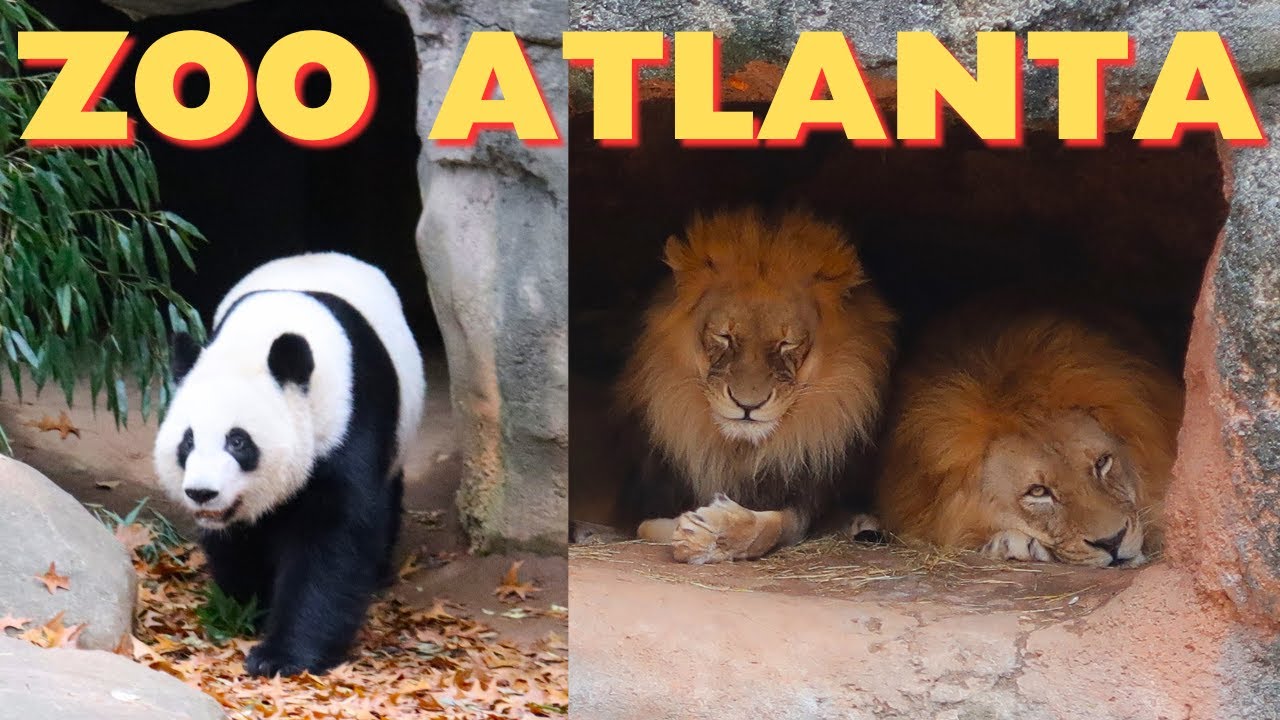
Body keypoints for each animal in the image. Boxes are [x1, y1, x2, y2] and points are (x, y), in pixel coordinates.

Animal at [153, 252, 425, 677]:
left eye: (238, 441)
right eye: (188, 441)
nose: (202, 492)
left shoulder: (348, 420)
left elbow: (333, 537)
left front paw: (281, 655)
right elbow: (237, 540)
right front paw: (247, 606)